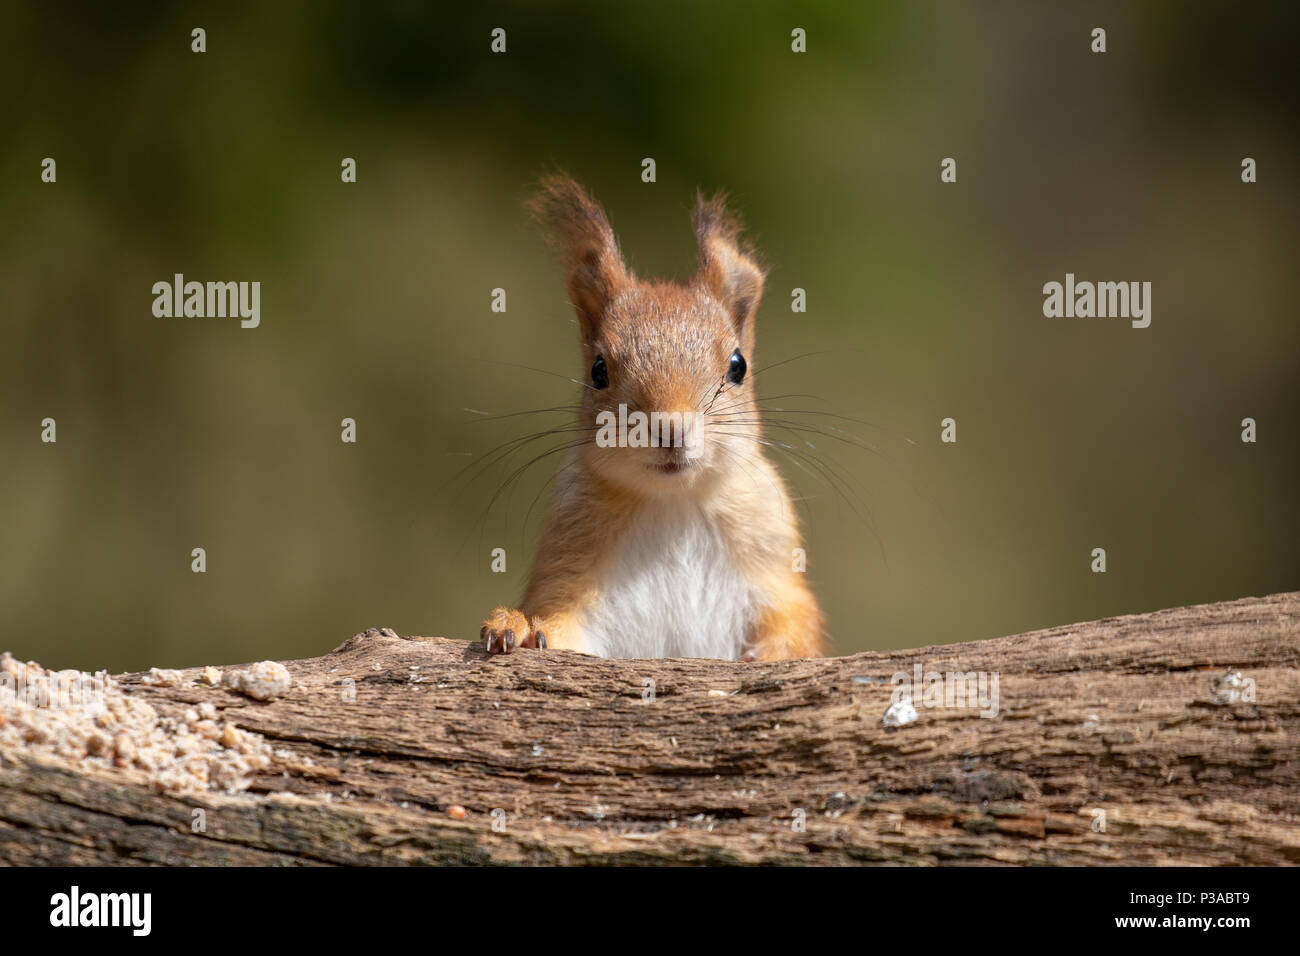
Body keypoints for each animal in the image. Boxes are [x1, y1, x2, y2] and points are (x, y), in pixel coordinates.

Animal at [480, 174, 826, 662]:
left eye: (738, 366)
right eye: (598, 370)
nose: (670, 428)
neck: (673, 503)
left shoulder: (773, 564)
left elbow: (796, 627)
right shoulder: (571, 560)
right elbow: (564, 623)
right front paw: (521, 626)